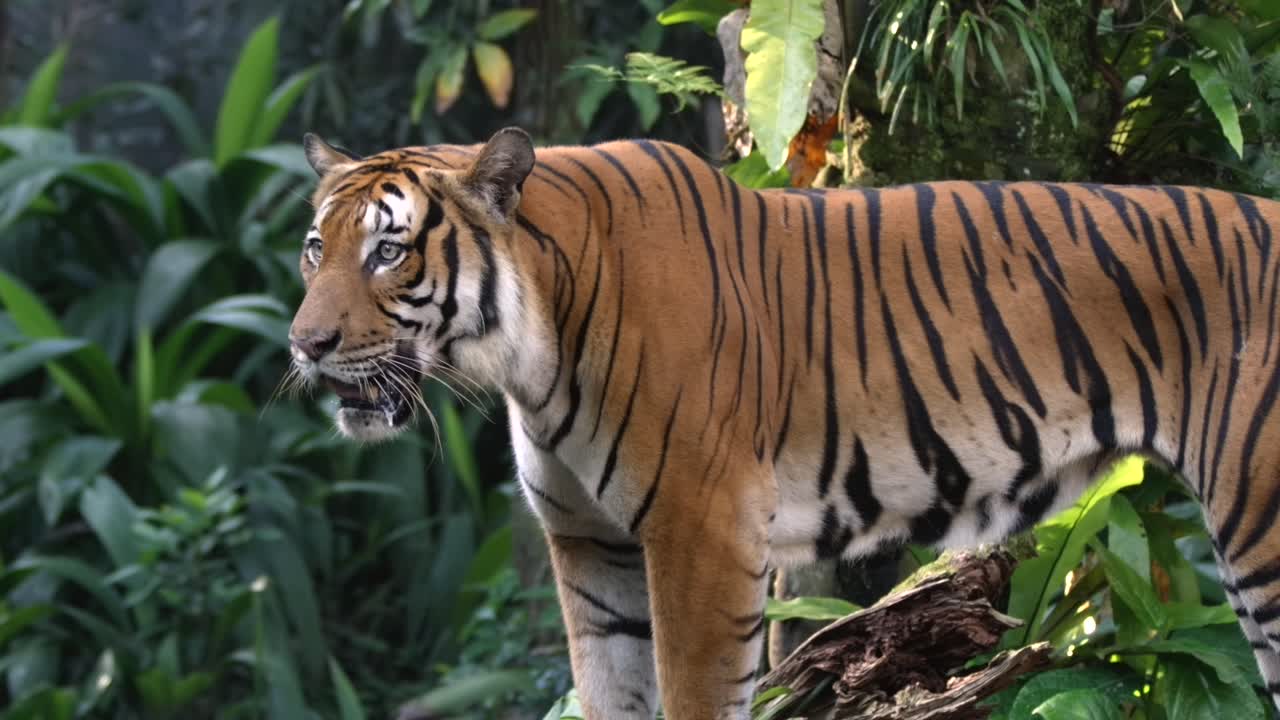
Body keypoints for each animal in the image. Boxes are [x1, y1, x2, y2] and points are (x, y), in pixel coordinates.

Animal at [287, 126, 1280, 719]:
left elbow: (694, 696)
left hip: (1261, 527)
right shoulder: (591, 545)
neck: (533, 350)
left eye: (388, 250)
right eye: (315, 250)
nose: (304, 344)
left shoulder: (702, 530)